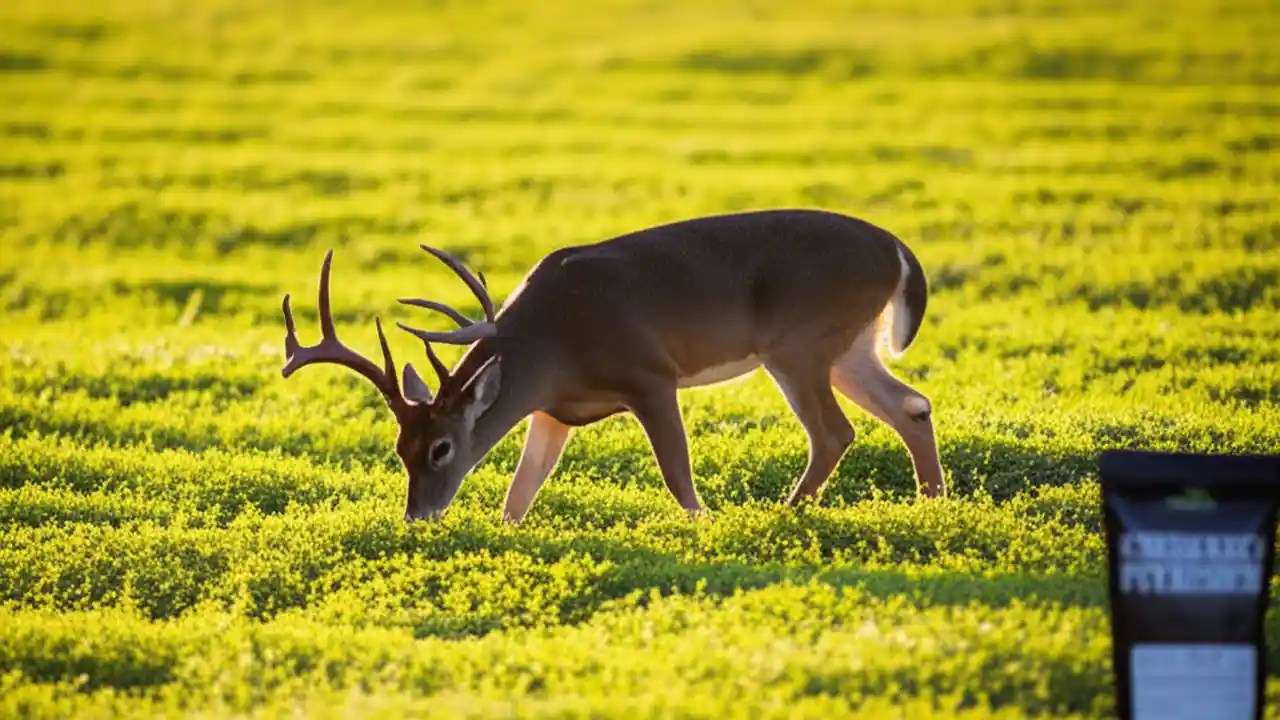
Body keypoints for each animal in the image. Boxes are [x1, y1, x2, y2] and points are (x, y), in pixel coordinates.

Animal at [281, 209, 946, 523]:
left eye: (442, 448)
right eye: (400, 448)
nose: (418, 516)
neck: (555, 340)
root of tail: (898, 250)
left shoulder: (649, 373)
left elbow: (677, 474)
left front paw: (705, 526)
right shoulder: (552, 410)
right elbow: (520, 493)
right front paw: (505, 530)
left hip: (800, 343)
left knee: (834, 431)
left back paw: (783, 515)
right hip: (848, 345)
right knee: (911, 406)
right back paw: (932, 504)